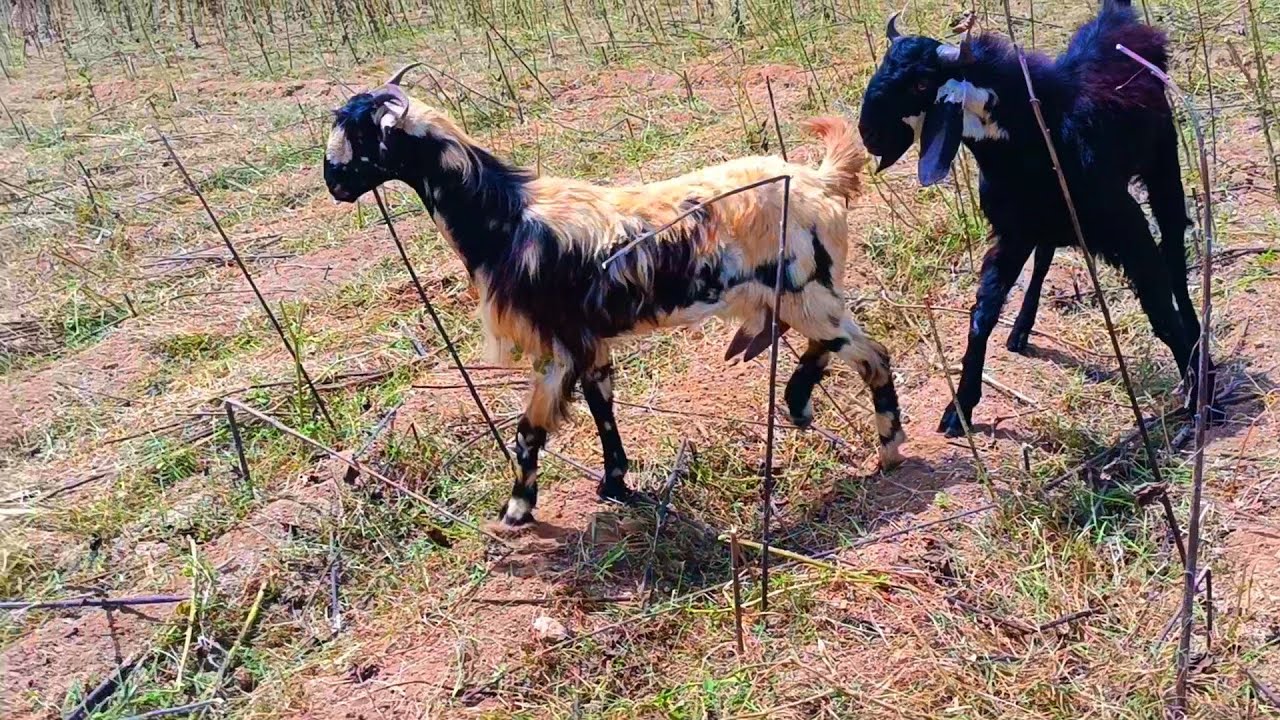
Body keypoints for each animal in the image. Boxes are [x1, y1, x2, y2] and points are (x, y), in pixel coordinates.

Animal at [324, 64, 906, 528]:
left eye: (358, 140)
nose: (334, 185)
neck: (505, 218)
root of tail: (823, 181)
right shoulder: (590, 345)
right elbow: (602, 408)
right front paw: (615, 483)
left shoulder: (556, 347)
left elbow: (528, 431)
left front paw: (516, 511)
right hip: (800, 299)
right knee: (832, 345)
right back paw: (800, 401)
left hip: (807, 294)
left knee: (872, 355)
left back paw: (888, 451)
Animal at [857, 0, 1213, 438]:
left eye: (922, 84)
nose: (868, 134)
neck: (1038, 136)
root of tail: (1119, 18)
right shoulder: (1013, 232)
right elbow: (982, 314)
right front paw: (959, 409)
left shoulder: (1125, 225)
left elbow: (1160, 308)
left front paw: (1200, 397)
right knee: (1045, 257)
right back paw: (1021, 330)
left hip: (1163, 158)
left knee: (1174, 247)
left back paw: (1198, 342)